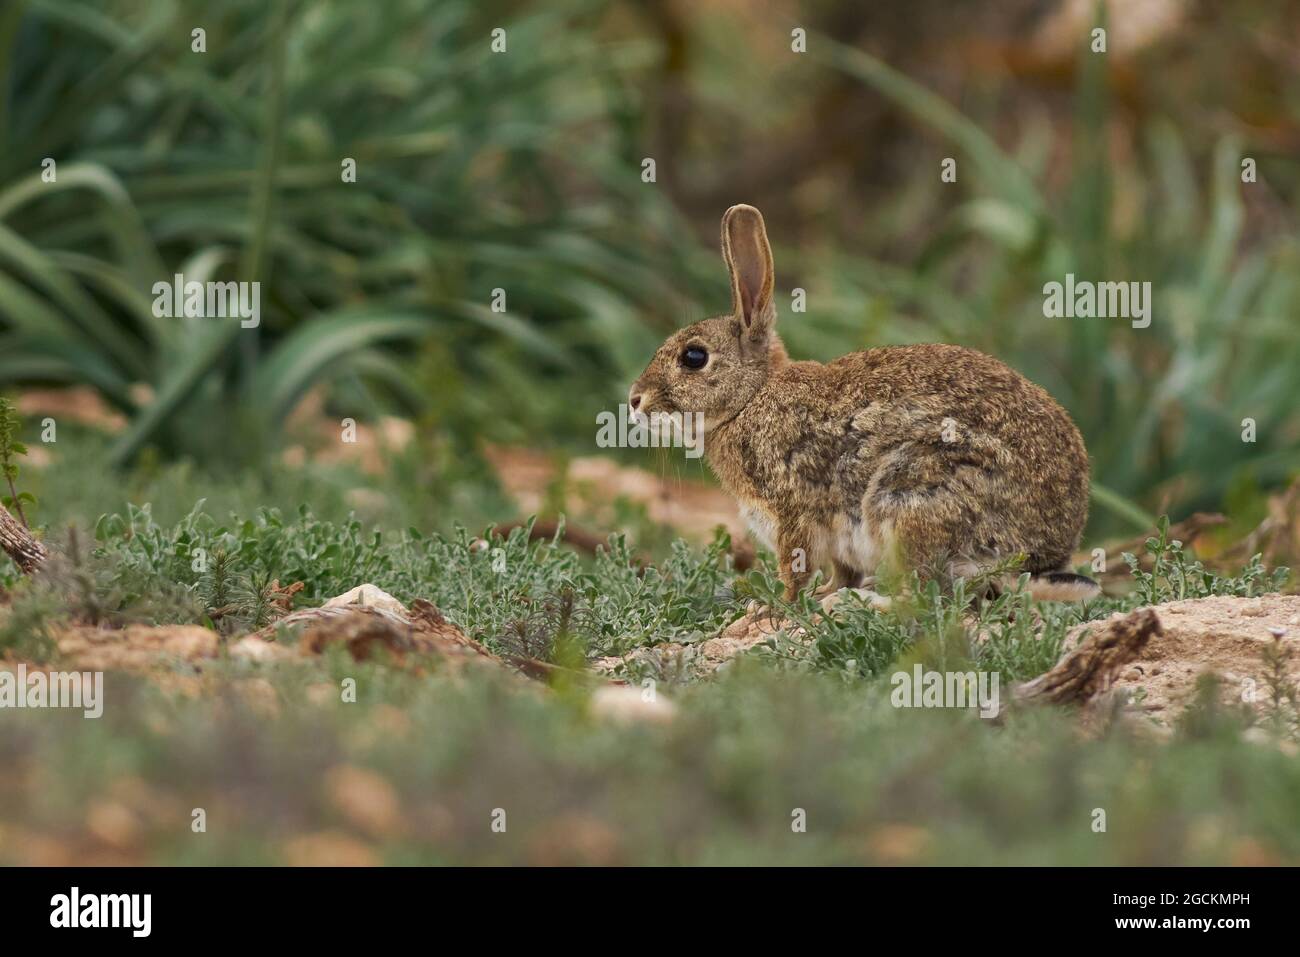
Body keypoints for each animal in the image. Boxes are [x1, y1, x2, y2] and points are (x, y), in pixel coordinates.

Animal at [628, 204, 1098, 604]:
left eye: (694, 357)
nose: (635, 400)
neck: (752, 397)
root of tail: (1037, 556)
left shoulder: (793, 512)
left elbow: (795, 569)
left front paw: (774, 608)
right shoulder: (835, 541)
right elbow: (841, 571)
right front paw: (824, 594)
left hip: (910, 500)